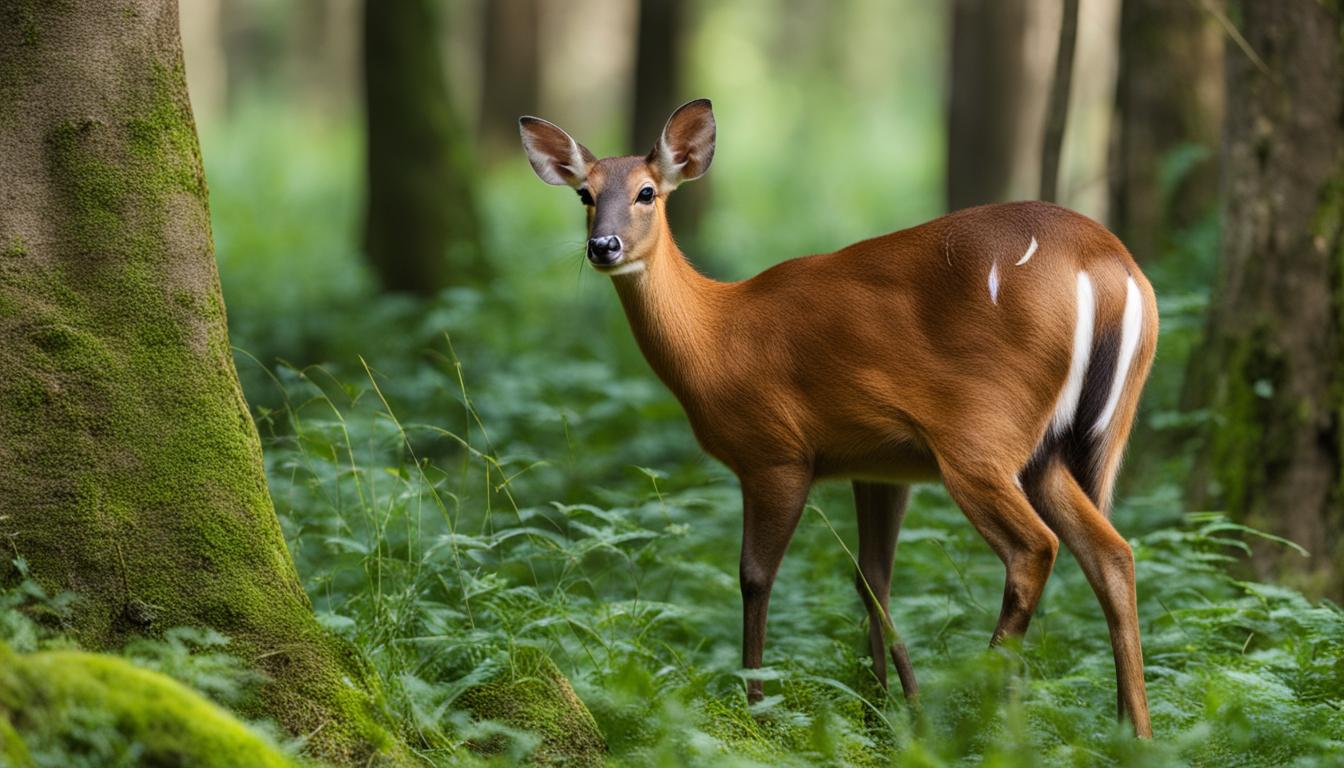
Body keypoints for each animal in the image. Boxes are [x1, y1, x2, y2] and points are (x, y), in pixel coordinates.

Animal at [519, 99, 1157, 737]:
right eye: (584, 194)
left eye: (647, 192)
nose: (603, 245)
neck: (717, 341)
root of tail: (1111, 268)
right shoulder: (879, 462)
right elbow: (871, 577)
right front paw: (890, 712)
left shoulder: (775, 451)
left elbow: (754, 576)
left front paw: (759, 710)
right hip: (1053, 448)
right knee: (1114, 554)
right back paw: (1133, 733)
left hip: (981, 435)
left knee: (1035, 550)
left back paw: (980, 720)